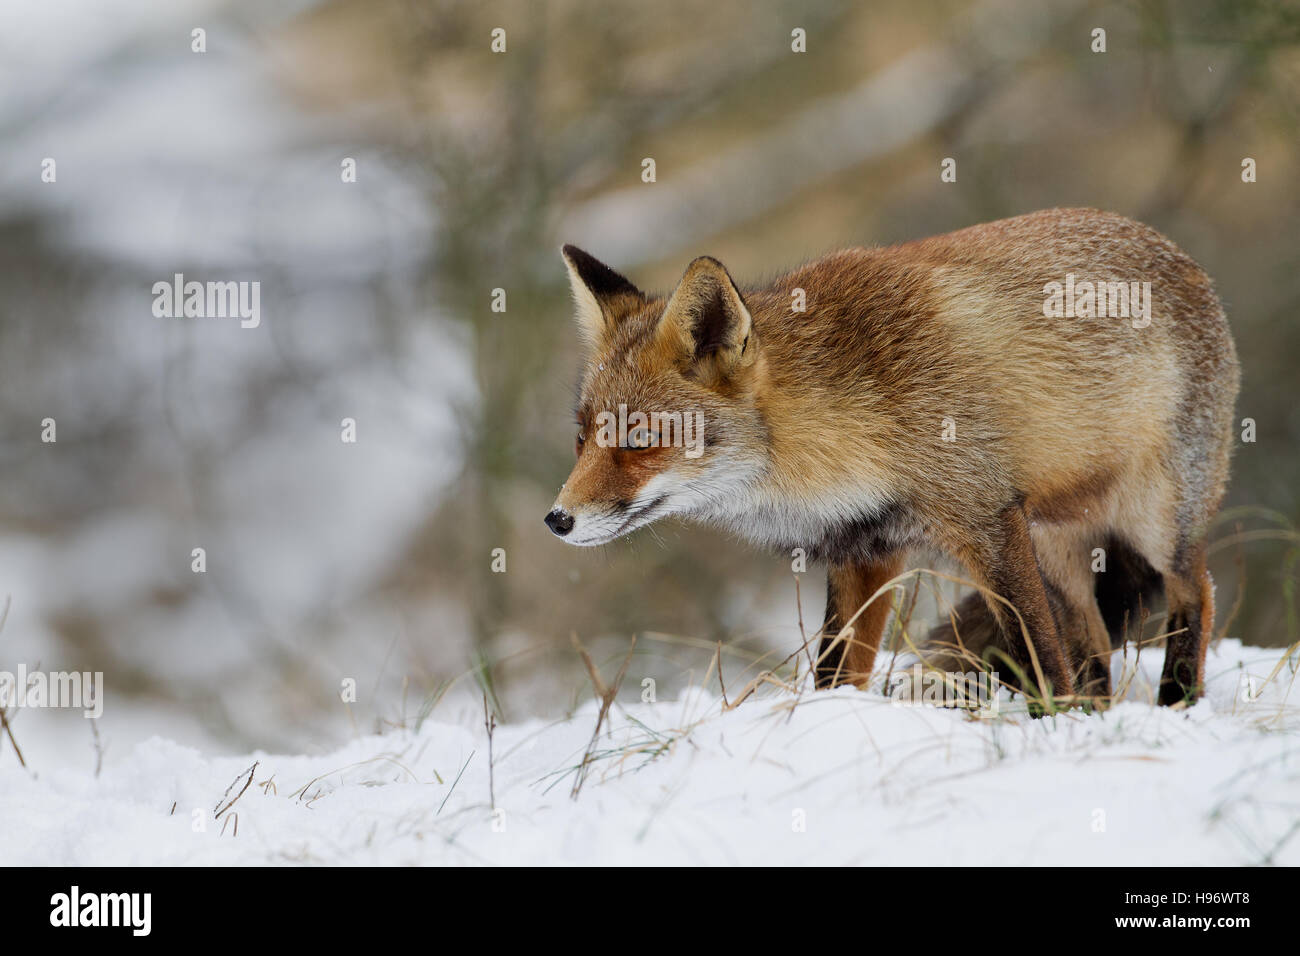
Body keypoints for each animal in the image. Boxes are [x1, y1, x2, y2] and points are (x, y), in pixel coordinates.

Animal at [545, 208, 1240, 707]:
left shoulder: (985, 519)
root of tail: (1179, 254)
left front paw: (1052, 730)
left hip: (1155, 522)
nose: (557, 520)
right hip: (1058, 547)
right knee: (1093, 646)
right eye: (582, 436)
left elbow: (1039, 657)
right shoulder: (865, 547)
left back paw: (1178, 703)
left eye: (640, 439)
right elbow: (835, 672)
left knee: (1197, 594)